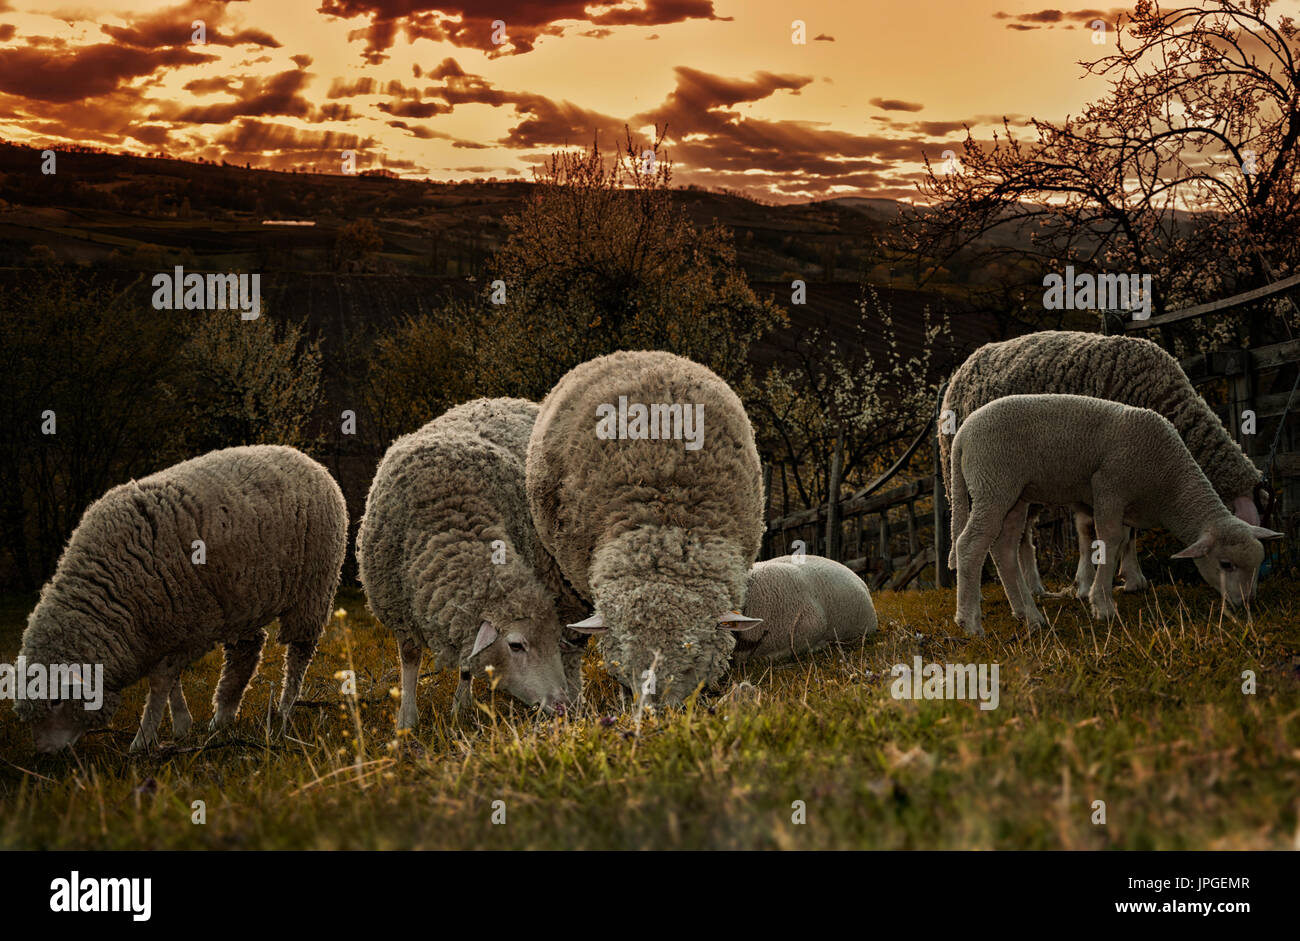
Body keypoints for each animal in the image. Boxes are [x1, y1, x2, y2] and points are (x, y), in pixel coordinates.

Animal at [13, 445, 347, 753]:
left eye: (57, 700)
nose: (44, 753)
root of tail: (305, 458)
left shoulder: (195, 623)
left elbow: (161, 681)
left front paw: (144, 739)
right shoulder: (167, 626)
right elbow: (171, 680)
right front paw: (181, 724)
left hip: (313, 589)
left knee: (298, 654)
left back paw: (284, 709)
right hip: (244, 597)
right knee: (247, 651)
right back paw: (223, 716)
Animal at [357, 398, 588, 727]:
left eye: (553, 640)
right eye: (516, 645)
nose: (560, 704)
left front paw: (459, 705)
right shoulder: (400, 612)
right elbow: (411, 661)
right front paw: (408, 719)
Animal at [949, 394, 1281, 634]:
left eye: (1258, 564)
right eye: (1225, 564)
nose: (1247, 604)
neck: (1169, 482)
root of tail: (962, 434)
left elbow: (1122, 540)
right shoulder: (1108, 486)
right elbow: (1107, 540)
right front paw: (1102, 605)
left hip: (1014, 495)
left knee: (1003, 548)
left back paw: (1028, 614)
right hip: (994, 484)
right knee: (970, 545)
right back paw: (970, 622)